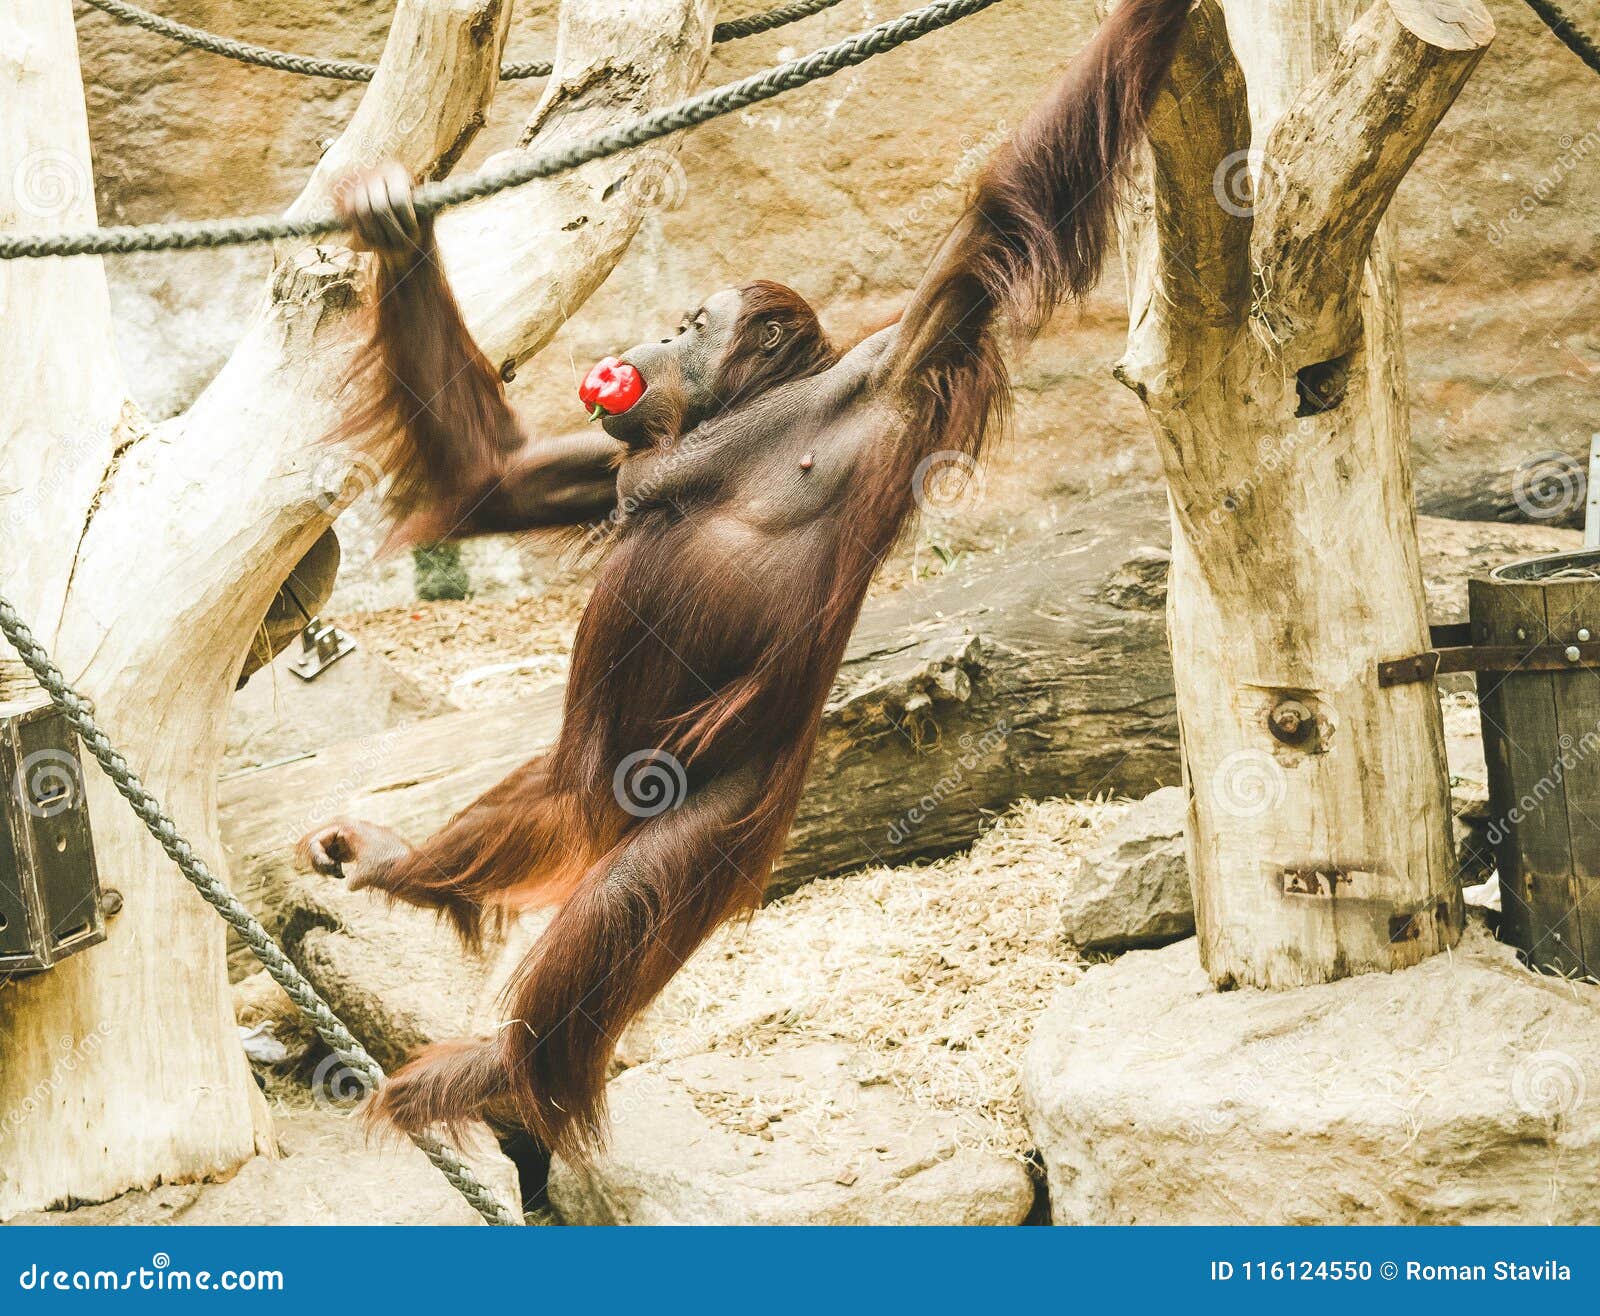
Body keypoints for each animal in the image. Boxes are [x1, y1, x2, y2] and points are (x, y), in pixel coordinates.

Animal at [299, 0, 1194, 1161]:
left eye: (688, 327)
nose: (635, 348)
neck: (742, 418)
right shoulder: (611, 463)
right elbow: (497, 477)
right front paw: (399, 230)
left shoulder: (902, 360)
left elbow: (999, 219)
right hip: (578, 782)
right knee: (509, 816)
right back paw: (400, 863)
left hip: (710, 822)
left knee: (608, 927)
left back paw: (501, 1071)